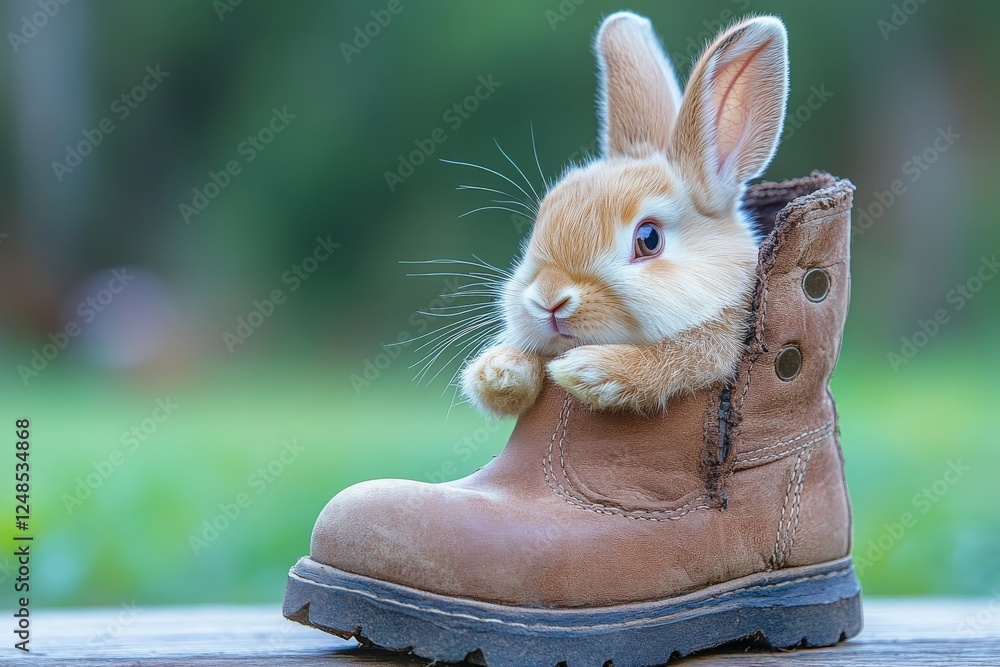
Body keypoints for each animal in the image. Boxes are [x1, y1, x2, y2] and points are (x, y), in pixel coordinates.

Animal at [460, 12, 789, 415]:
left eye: (649, 239)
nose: (549, 300)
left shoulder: (716, 347)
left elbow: (669, 361)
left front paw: (584, 370)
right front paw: (498, 373)